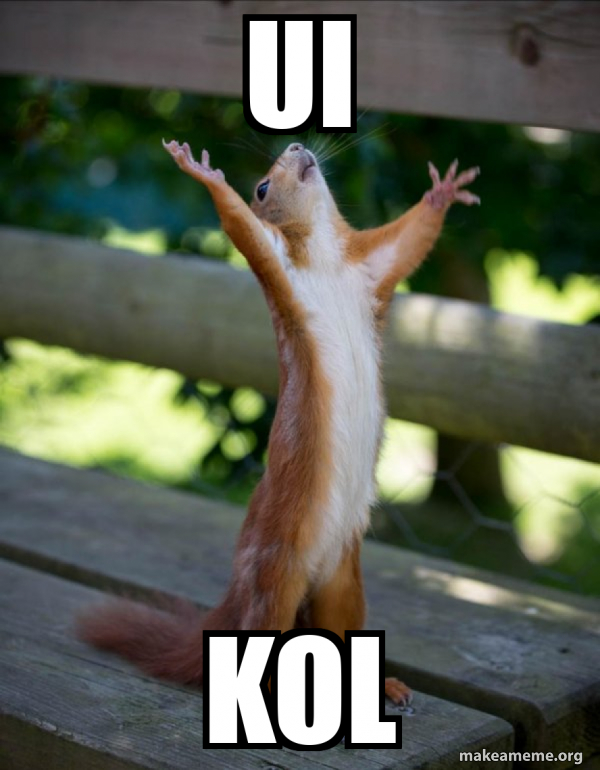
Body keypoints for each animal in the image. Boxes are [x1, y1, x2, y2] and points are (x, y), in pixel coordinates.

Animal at [77, 139, 480, 707]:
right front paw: (203, 173)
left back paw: (382, 685)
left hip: (344, 588)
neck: (327, 259)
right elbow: (240, 226)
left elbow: (410, 239)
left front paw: (442, 191)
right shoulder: (277, 265)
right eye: (262, 187)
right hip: (274, 578)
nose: (295, 145)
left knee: (343, 633)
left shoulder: (372, 267)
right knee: (264, 636)